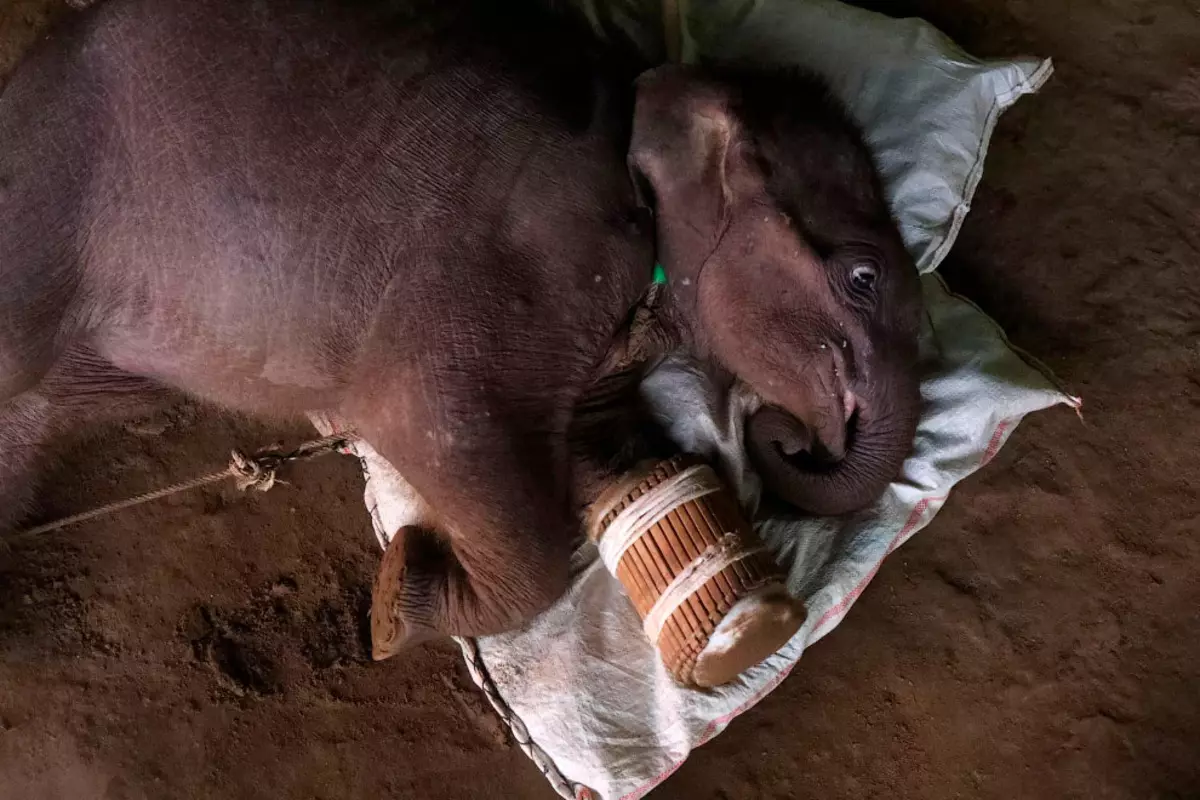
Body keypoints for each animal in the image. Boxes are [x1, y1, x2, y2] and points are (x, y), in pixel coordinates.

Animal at [0, 0, 916, 642]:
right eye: (862, 278)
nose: (789, 434)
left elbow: (595, 446)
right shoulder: (512, 258)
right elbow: (435, 429)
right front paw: (396, 605)